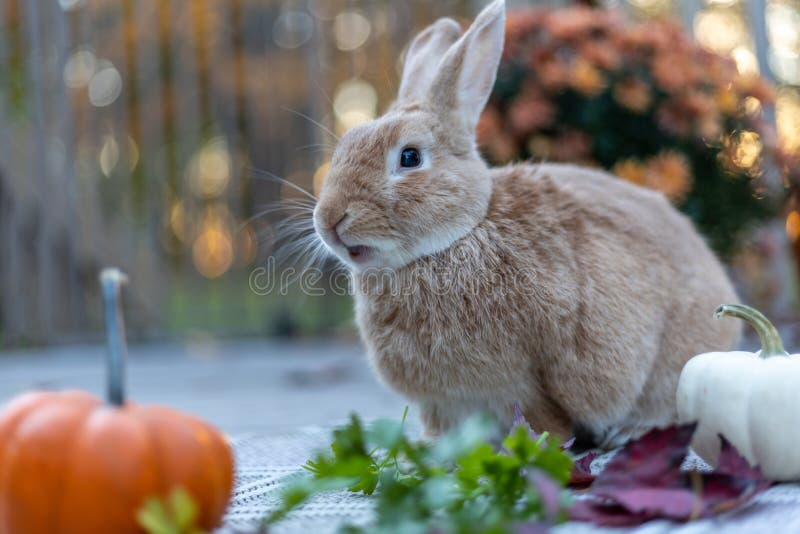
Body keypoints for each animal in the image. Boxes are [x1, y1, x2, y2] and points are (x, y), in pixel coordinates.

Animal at [312, 0, 741, 448]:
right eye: (346, 145)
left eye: (409, 157)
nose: (329, 220)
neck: (460, 235)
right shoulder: (440, 403)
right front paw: (428, 448)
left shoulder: (526, 384)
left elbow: (544, 419)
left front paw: (536, 447)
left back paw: (630, 431)